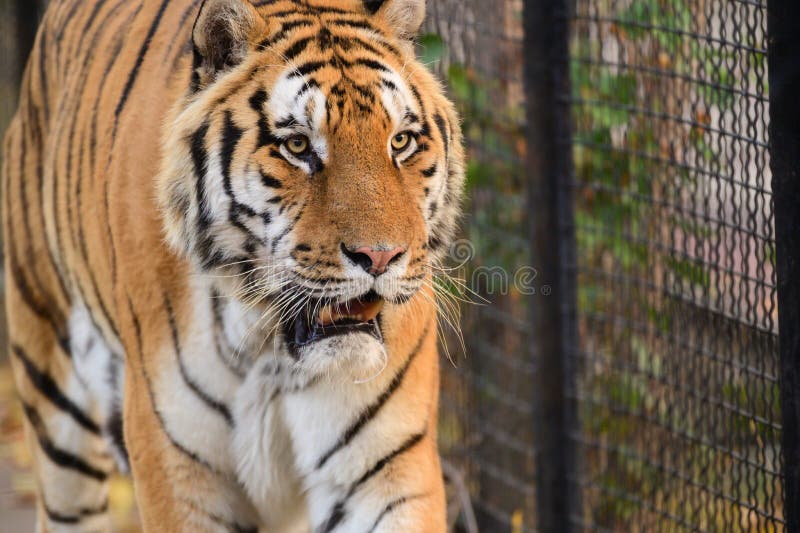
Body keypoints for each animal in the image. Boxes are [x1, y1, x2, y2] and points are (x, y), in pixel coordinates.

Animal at [1, 0, 465, 530]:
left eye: (401, 141)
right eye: (298, 147)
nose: (381, 256)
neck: (273, 346)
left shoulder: (385, 469)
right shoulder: (180, 472)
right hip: (53, 406)